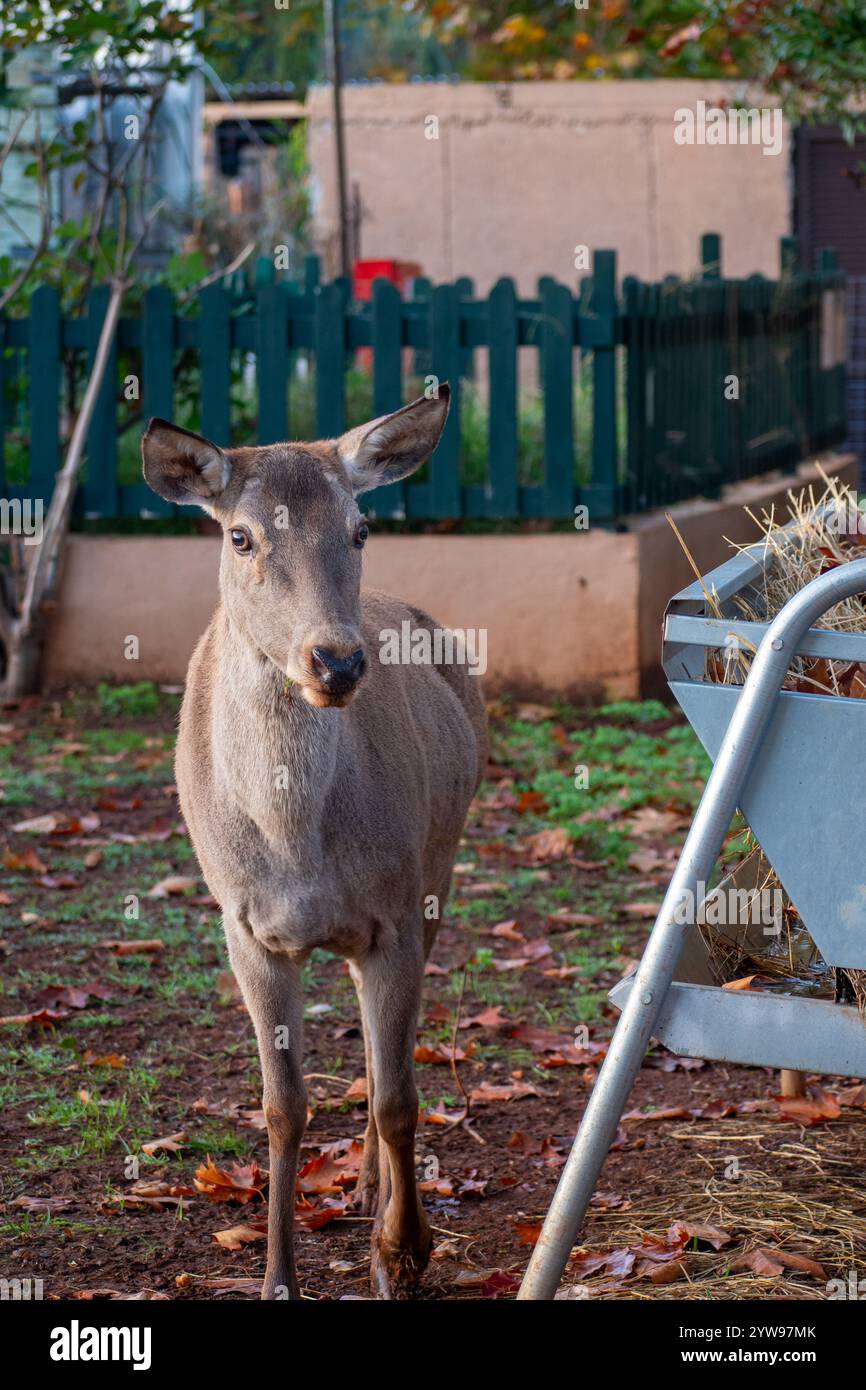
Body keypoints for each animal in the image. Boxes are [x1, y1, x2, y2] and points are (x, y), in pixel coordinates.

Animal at [141, 386, 487, 1300]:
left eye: (360, 527)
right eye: (240, 535)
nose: (335, 661)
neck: (297, 849)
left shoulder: (397, 913)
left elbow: (401, 1096)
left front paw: (403, 1254)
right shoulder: (243, 926)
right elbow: (282, 1106)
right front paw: (277, 1278)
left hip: (441, 865)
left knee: (389, 1062)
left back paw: (373, 1190)